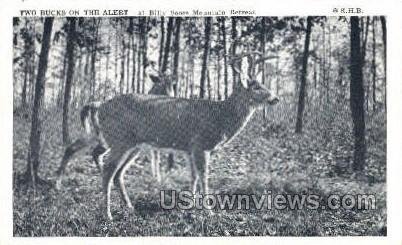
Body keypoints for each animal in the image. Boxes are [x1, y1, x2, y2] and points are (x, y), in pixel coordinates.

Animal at [57, 49, 280, 220]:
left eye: (263, 83)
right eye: (256, 86)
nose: (275, 98)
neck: (220, 116)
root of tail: (99, 106)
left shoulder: (190, 149)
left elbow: (193, 177)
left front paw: (190, 207)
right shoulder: (201, 144)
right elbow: (204, 177)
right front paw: (209, 211)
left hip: (132, 145)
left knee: (116, 172)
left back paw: (129, 207)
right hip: (120, 139)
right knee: (107, 170)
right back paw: (108, 214)